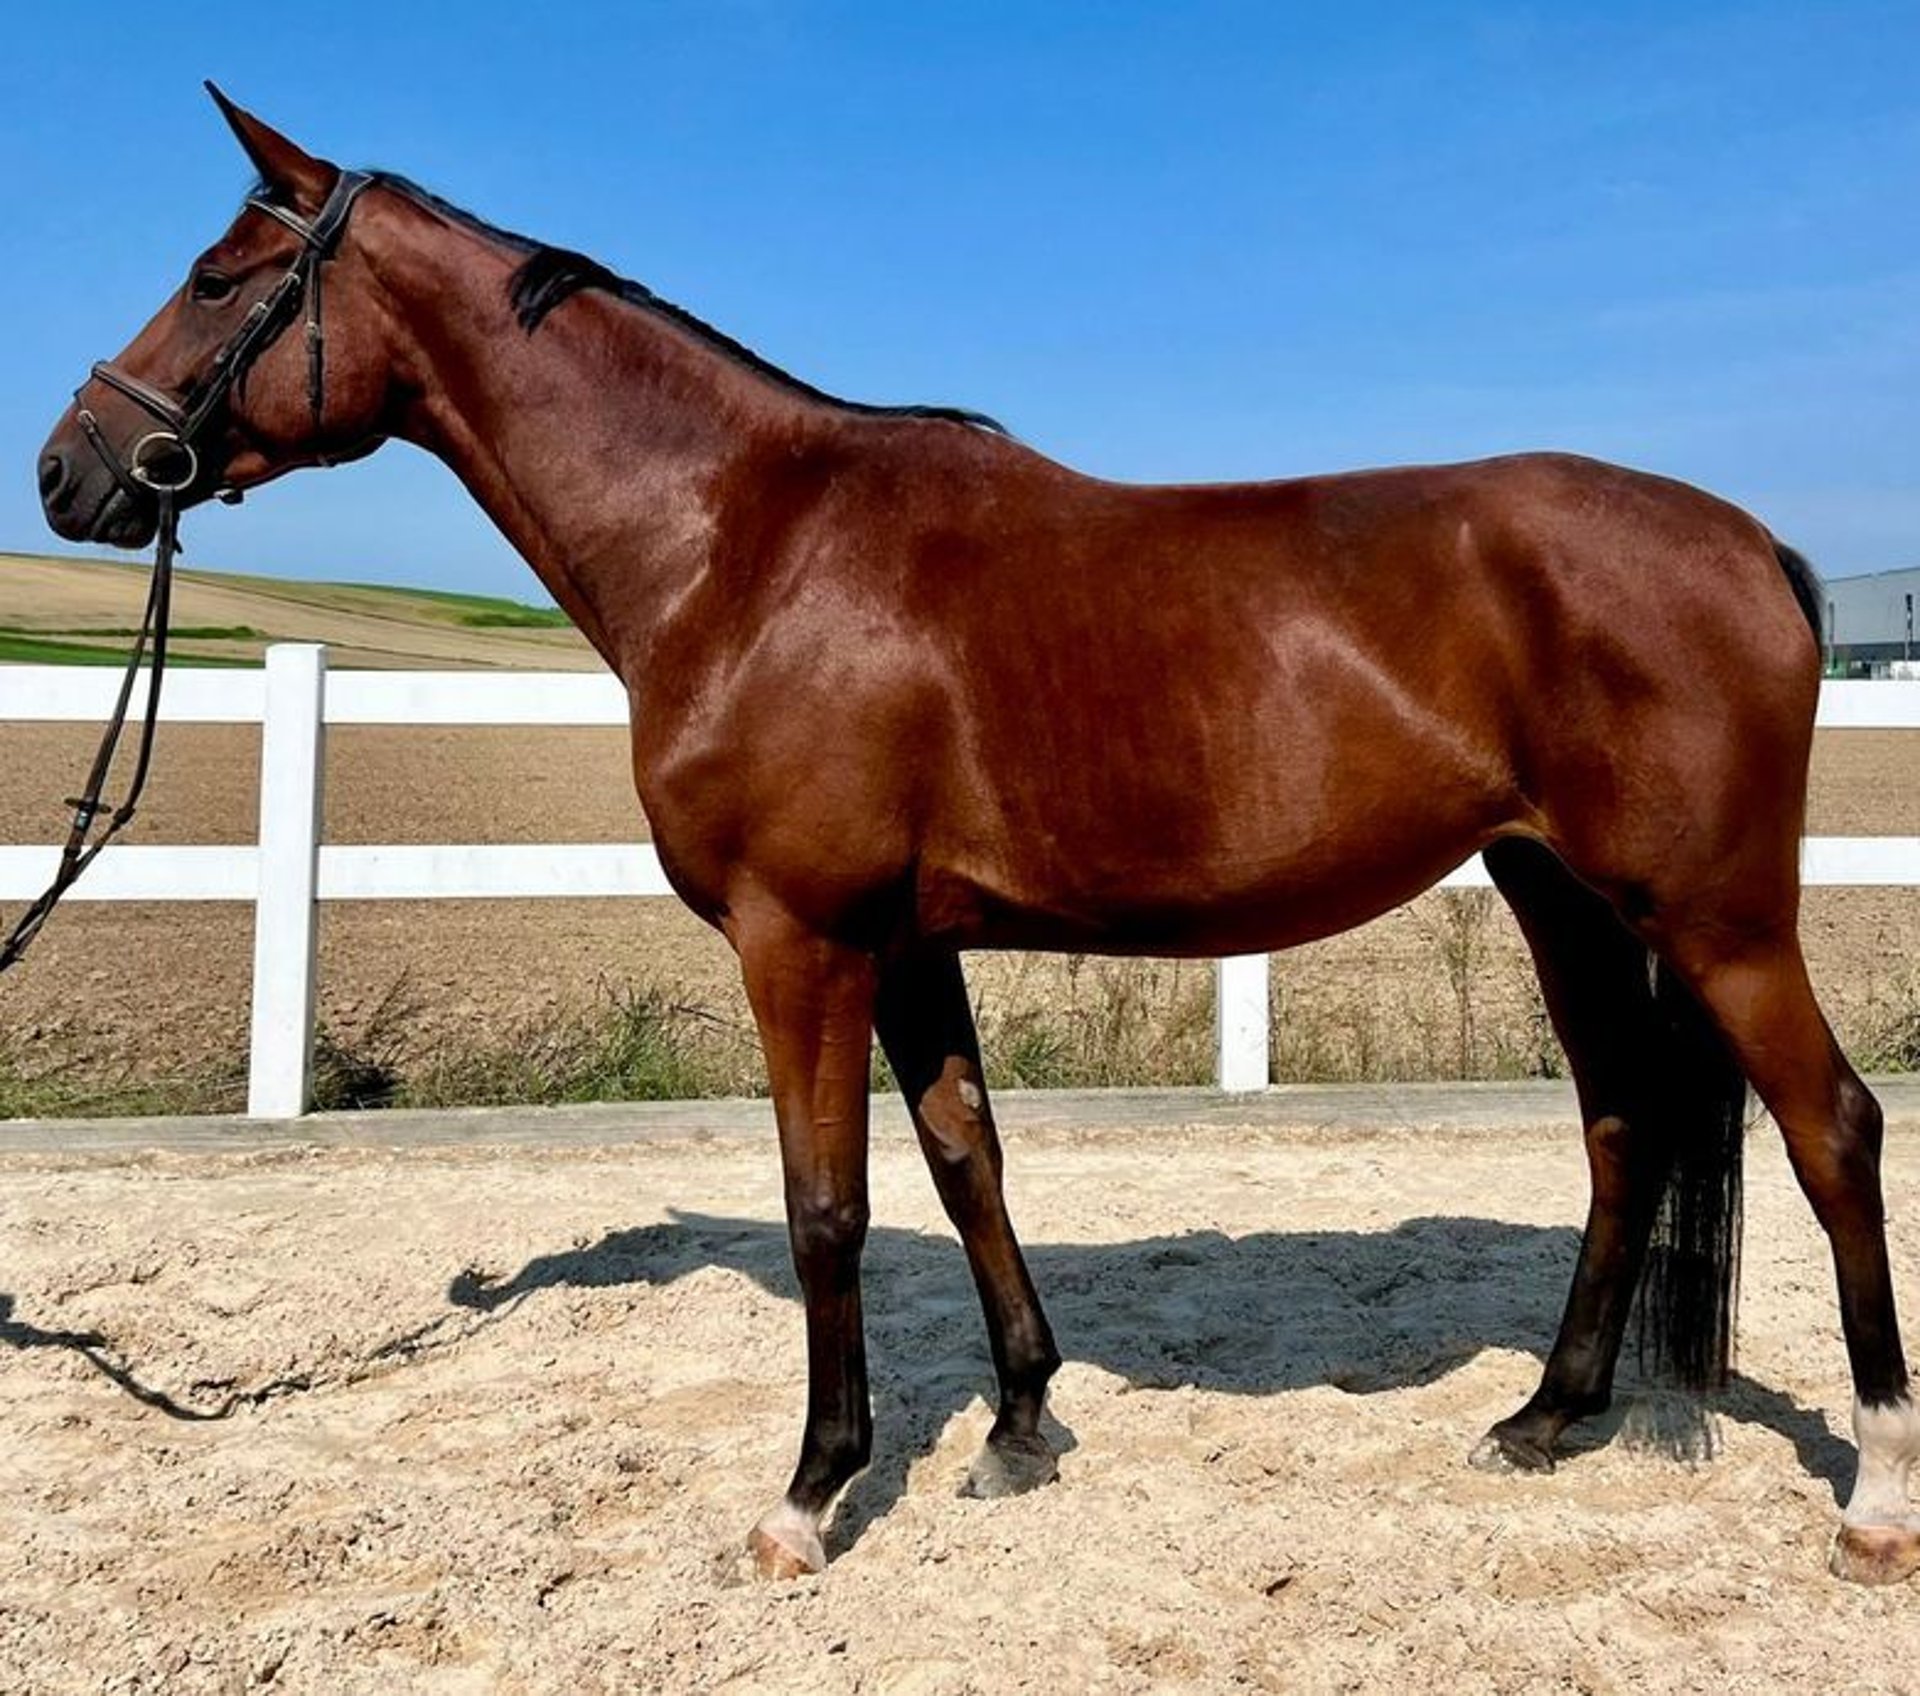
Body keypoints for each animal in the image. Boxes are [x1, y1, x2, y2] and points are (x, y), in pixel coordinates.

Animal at [36, 88, 1919, 1585]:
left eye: (219, 277)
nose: (72, 469)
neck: (745, 545)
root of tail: (1750, 544)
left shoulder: (801, 936)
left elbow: (827, 1206)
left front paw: (811, 1493)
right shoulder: (909, 939)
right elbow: (964, 1160)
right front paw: (1020, 1419)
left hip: (1716, 915)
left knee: (1831, 1128)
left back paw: (1876, 1495)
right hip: (1563, 893)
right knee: (1623, 1125)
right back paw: (1547, 1413)